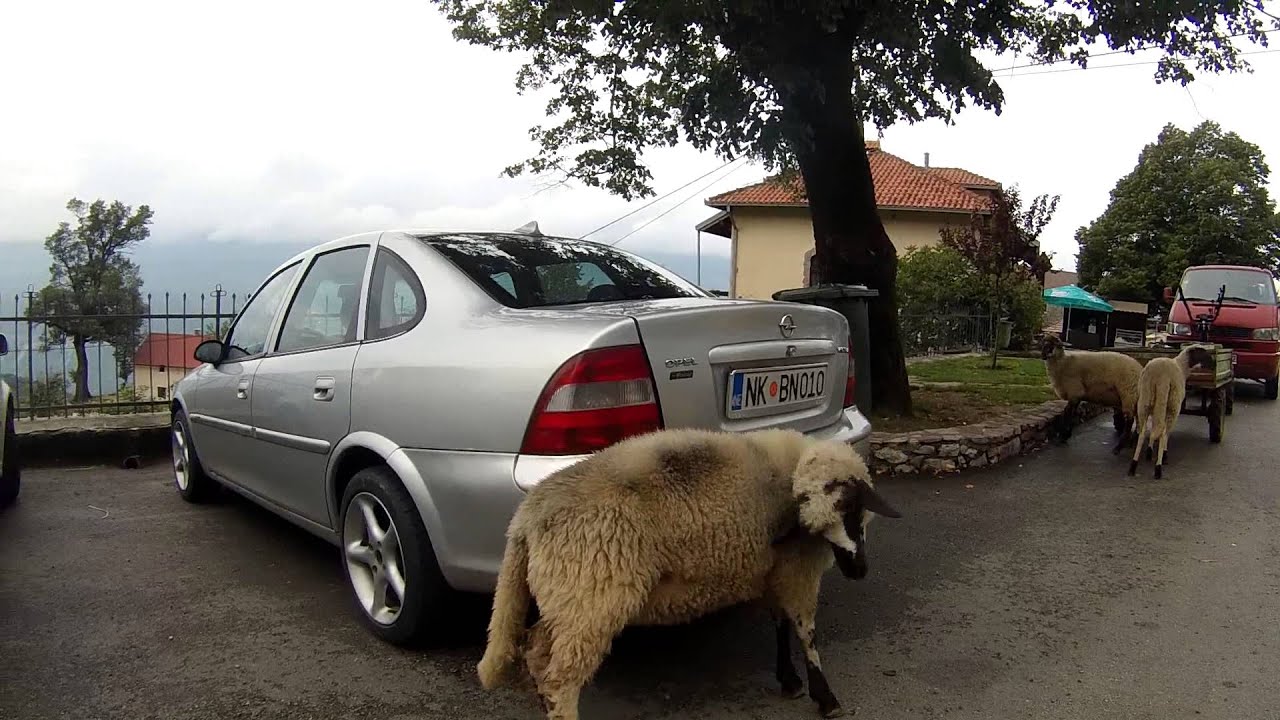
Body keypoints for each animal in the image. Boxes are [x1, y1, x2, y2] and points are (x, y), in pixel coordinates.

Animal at [476, 427, 903, 720]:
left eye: (851, 508)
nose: (858, 571)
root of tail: (525, 518)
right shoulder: (796, 572)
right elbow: (805, 631)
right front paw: (825, 698)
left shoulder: (774, 570)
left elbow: (780, 623)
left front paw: (789, 680)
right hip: (591, 598)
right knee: (560, 677)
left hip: (567, 597)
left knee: (536, 651)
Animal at [1128, 344, 1215, 479]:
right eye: (1203, 352)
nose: (1213, 363)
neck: (1182, 367)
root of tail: (1160, 375)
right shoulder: (1172, 407)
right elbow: (1164, 433)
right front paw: (1163, 454)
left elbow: (1153, 429)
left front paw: (1149, 451)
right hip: (1172, 404)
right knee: (1164, 432)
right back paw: (1158, 468)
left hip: (1145, 399)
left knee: (1143, 432)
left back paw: (1133, 466)